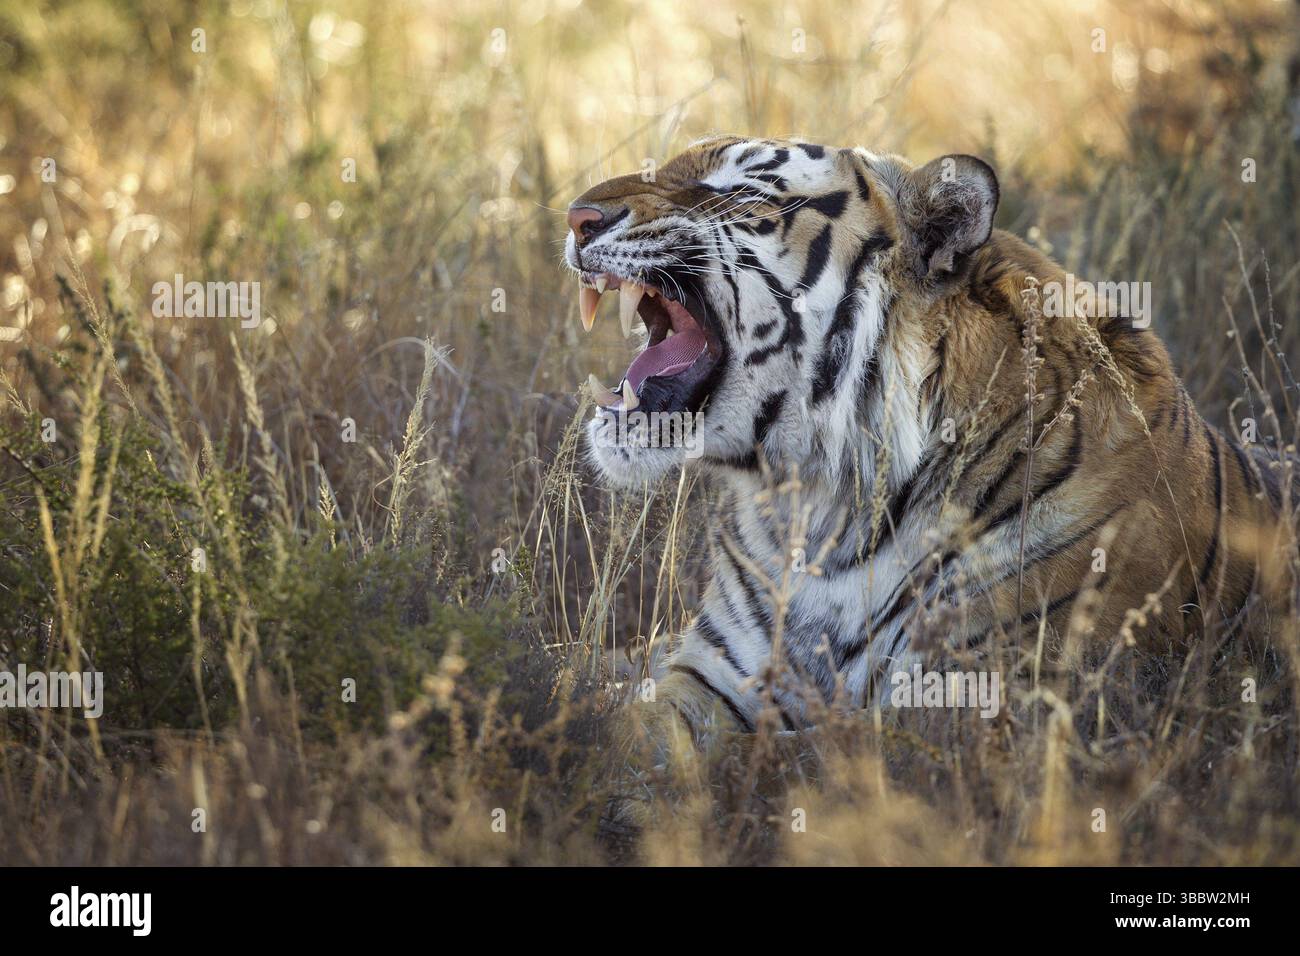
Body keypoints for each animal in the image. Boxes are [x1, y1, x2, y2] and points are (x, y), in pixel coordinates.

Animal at [561, 134, 1295, 811]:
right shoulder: (710, 675)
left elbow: (771, 760)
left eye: (741, 193)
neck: (821, 507)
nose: (576, 217)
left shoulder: (968, 715)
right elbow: (634, 724)